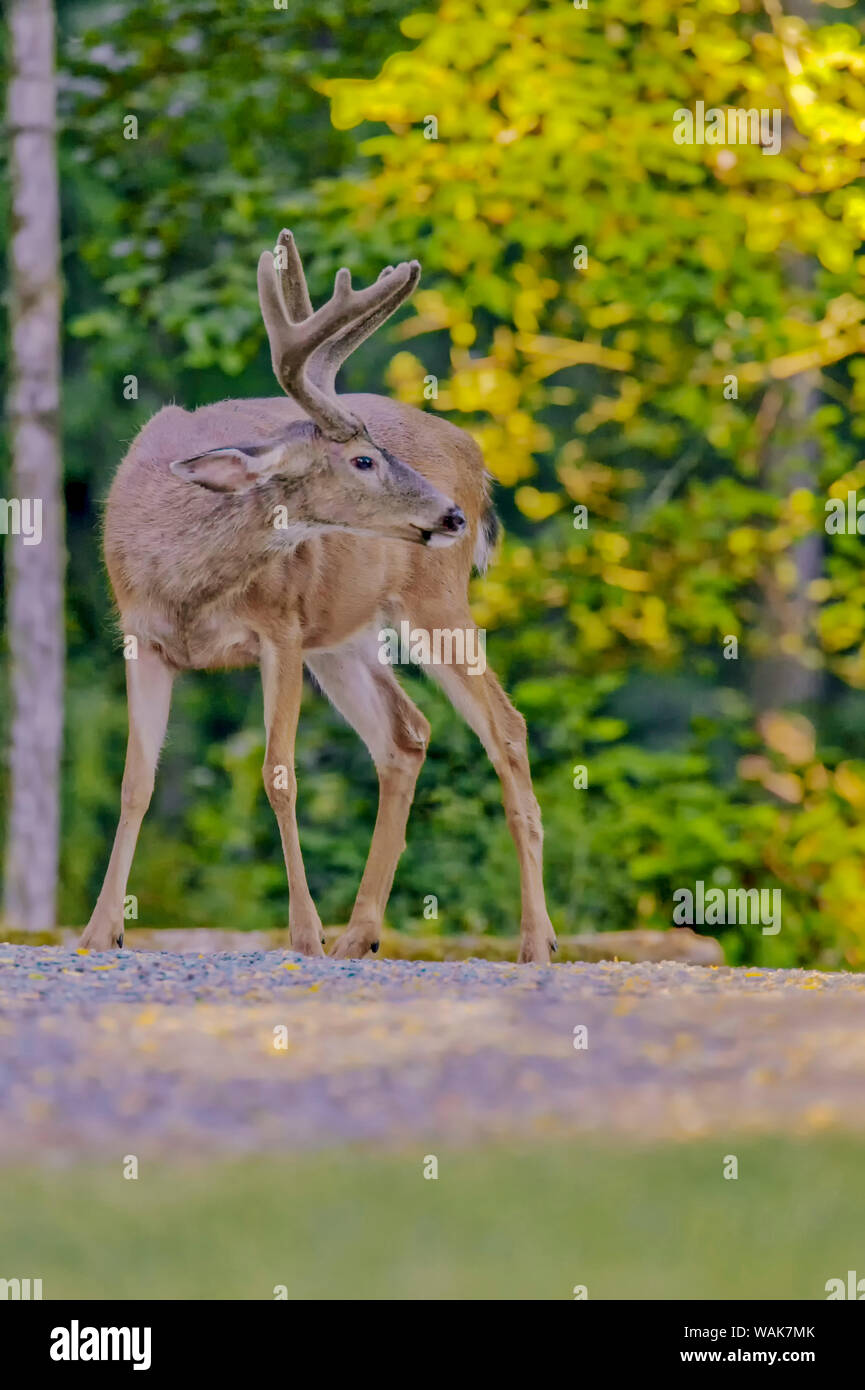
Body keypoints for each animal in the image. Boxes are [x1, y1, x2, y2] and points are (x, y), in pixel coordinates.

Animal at [80, 231, 557, 964]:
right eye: (362, 459)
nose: (449, 515)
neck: (188, 580)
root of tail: (476, 457)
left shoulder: (280, 630)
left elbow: (279, 774)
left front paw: (304, 933)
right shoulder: (140, 635)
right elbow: (136, 781)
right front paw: (100, 930)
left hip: (433, 600)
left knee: (504, 727)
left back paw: (536, 941)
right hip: (342, 637)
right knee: (407, 733)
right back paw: (360, 934)